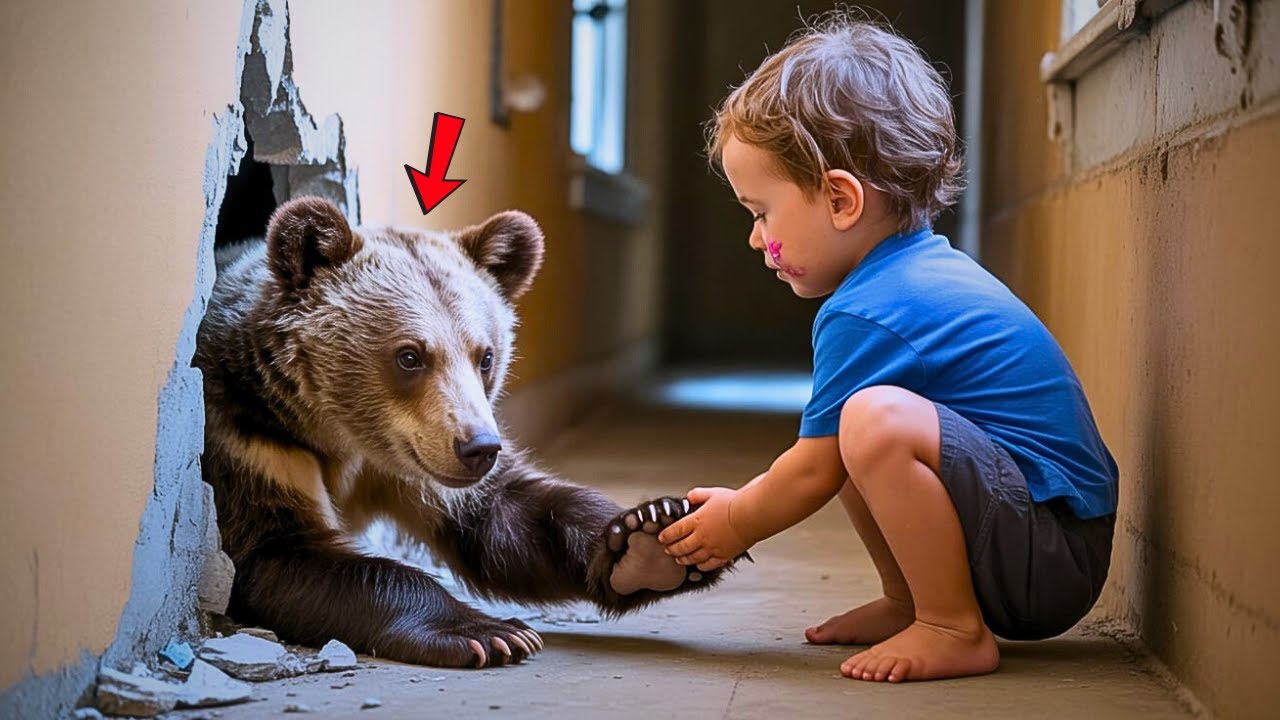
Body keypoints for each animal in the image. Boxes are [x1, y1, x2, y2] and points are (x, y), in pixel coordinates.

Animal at [193, 197, 724, 668]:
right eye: (410, 355)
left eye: (484, 355)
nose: (479, 448)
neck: (346, 437)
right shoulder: (253, 442)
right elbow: (277, 552)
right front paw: (490, 633)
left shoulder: (419, 465)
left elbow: (507, 520)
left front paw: (648, 536)